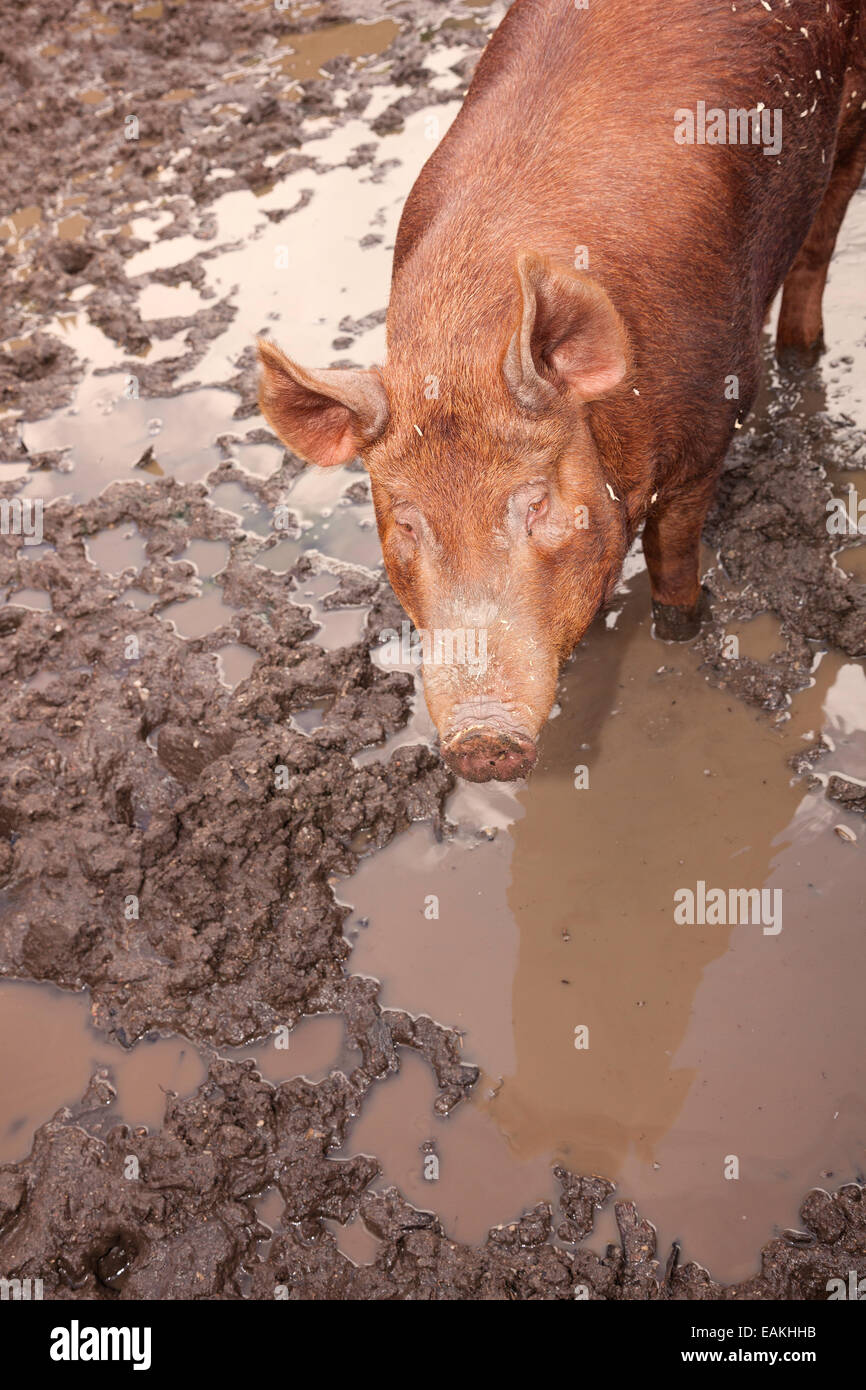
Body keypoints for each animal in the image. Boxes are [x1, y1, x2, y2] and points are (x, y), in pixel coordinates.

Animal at [258, 0, 866, 781]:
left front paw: (682, 632)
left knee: (821, 240)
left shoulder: (706, 435)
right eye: (407, 522)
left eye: (536, 502)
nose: (481, 739)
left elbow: (674, 561)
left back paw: (802, 355)